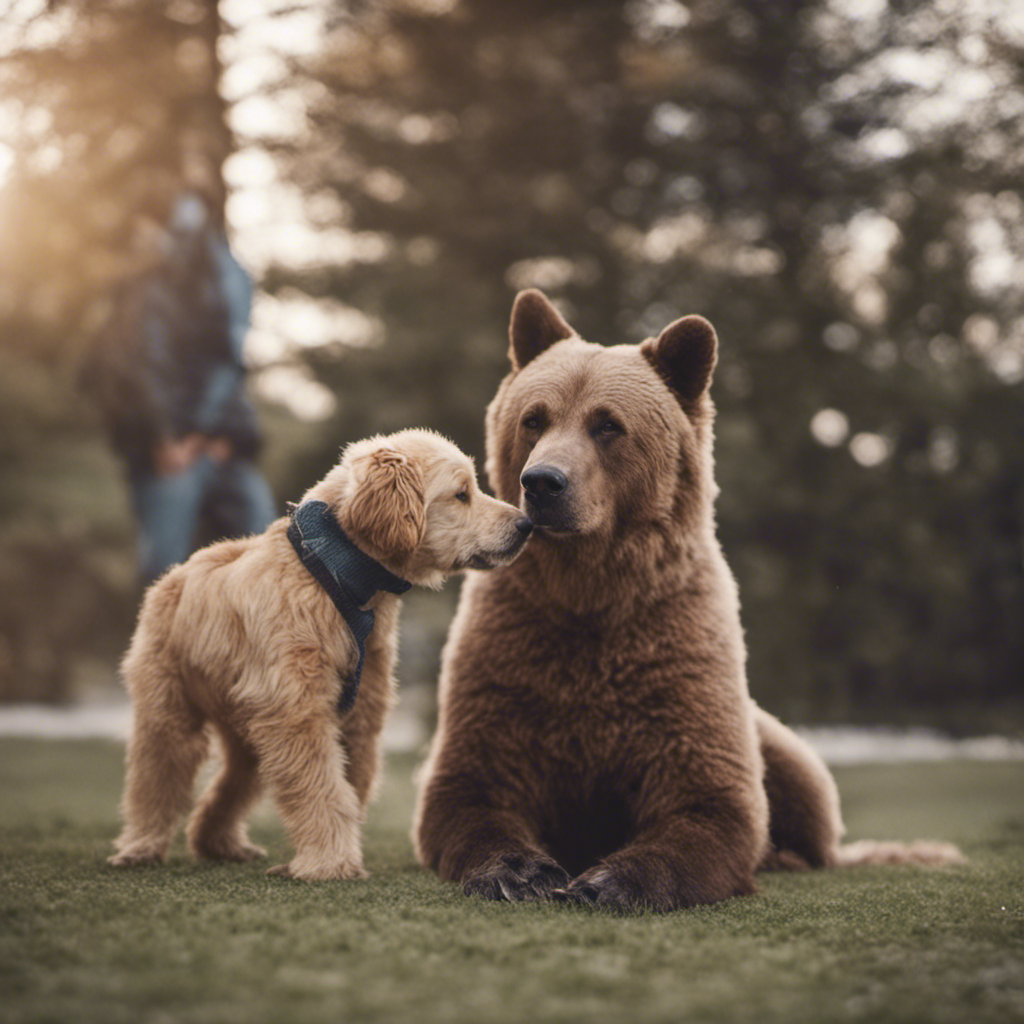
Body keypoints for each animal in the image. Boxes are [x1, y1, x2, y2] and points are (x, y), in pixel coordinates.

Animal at [412, 289, 963, 913]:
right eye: (534, 418)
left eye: (608, 424)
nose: (543, 482)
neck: (591, 593)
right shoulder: (511, 671)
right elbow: (467, 794)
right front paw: (520, 871)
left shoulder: (676, 668)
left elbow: (711, 804)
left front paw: (608, 882)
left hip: (770, 736)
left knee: (808, 798)